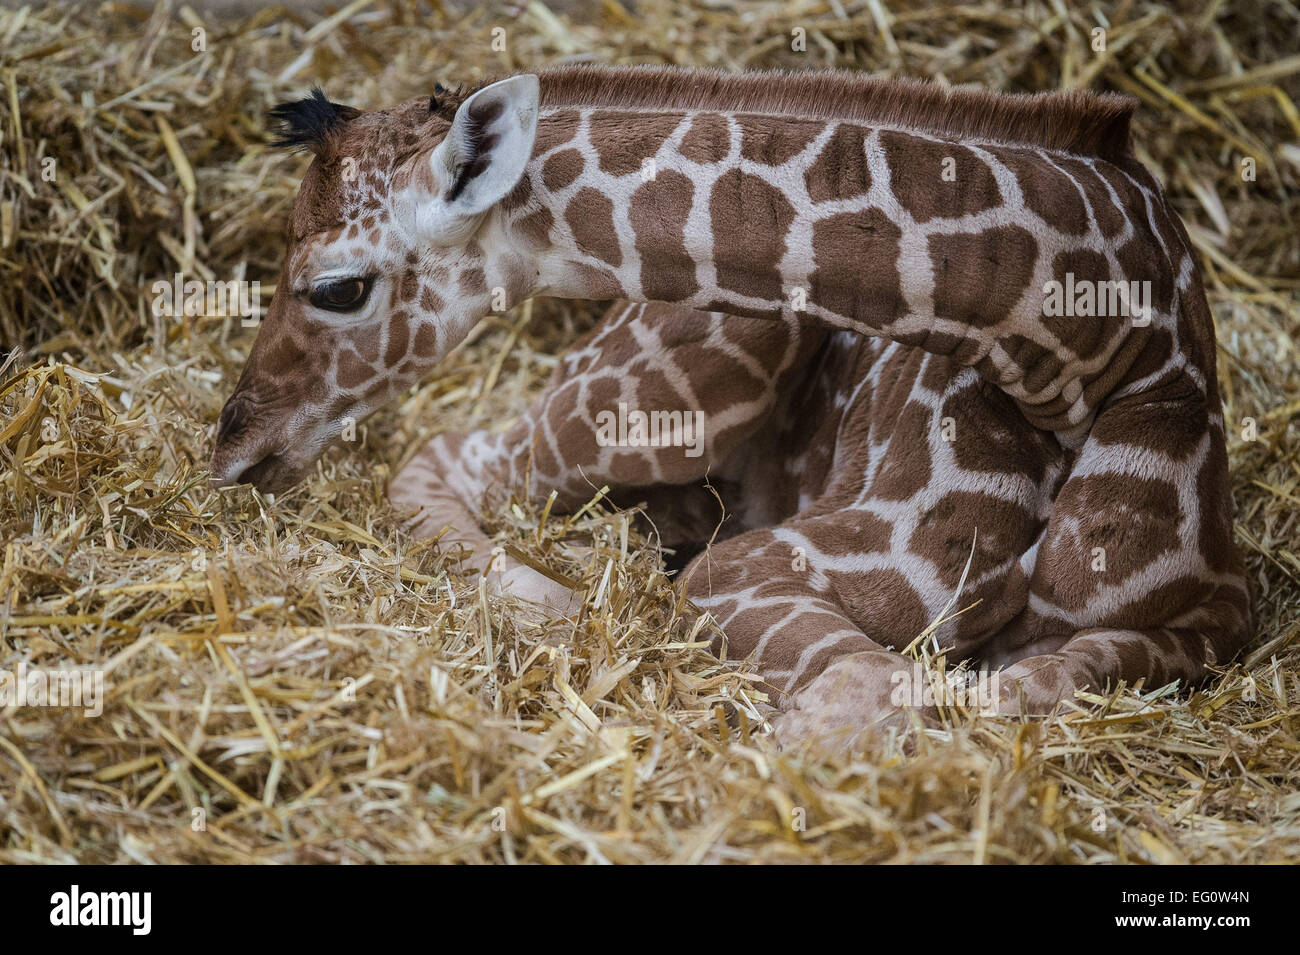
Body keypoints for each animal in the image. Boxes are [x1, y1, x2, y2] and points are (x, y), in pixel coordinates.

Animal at [210, 66, 1252, 746]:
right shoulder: (747, 568)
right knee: (453, 455)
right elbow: (890, 676)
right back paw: (559, 599)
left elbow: (1039, 674)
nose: (234, 449)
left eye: (337, 287)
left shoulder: (1221, 613)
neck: (1084, 348)